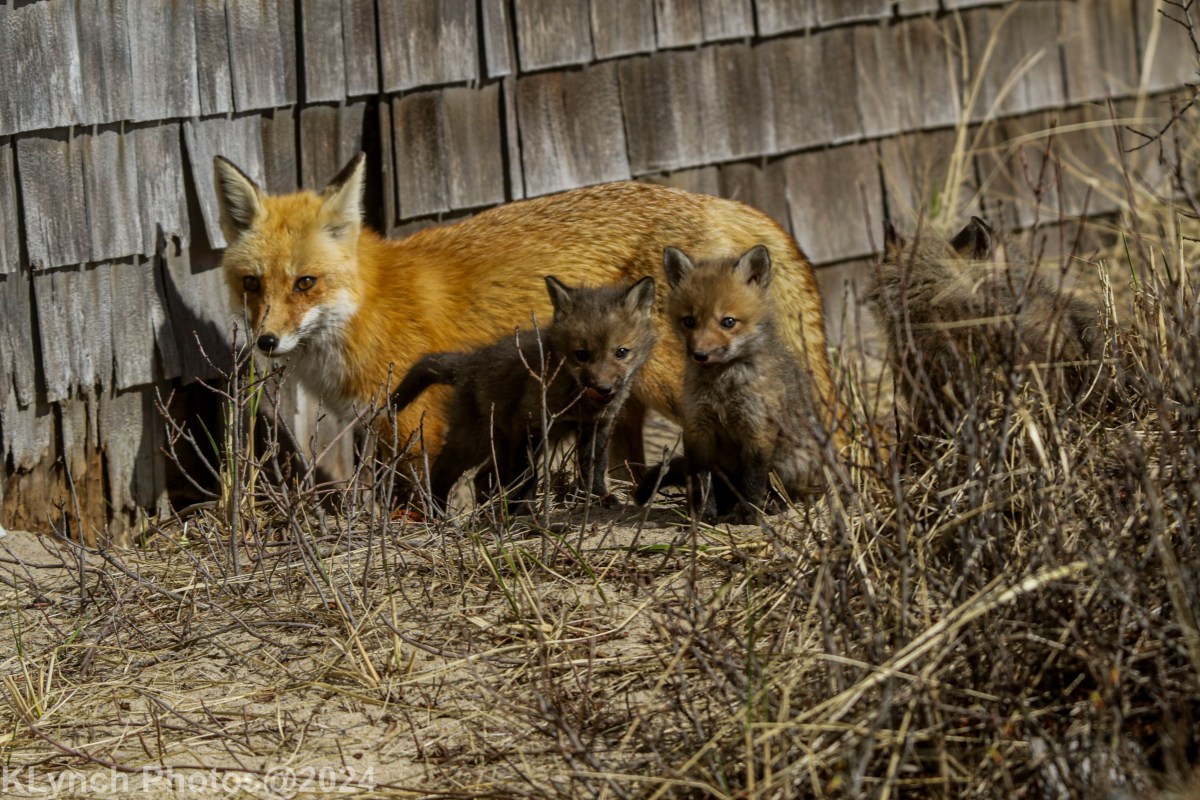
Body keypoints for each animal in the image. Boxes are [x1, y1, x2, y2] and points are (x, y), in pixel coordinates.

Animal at [212, 152, 838, 480]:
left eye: (305, 283)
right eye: (252, 284)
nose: (267, 341)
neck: (365, 306)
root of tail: (718, 201)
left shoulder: (416, 426)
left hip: (673, 383)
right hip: (618, 396)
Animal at [389, 276, 657, 515]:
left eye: (621, 352)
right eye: (581, 354)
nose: (604, 389)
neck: (577, 401)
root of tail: (470, 362)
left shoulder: (596, 426)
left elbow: (594, 470)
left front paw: (600, 498)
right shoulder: (529, 424)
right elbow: (529, 475)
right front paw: (525, 508)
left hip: (498, 443)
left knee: (481, 478)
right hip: (475, 441)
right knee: (443, 472)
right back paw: (436, 514)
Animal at [635, 245, 827, 522]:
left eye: (728, 322)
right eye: (689, 321)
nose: (700, 355)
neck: (722, 391)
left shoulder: (757, 429)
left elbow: (753, 481)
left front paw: (747, 514)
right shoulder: (698, 429)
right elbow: (701, 479)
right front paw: (703, 513)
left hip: (790, 460)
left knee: (786, 491)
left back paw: (773, 504)